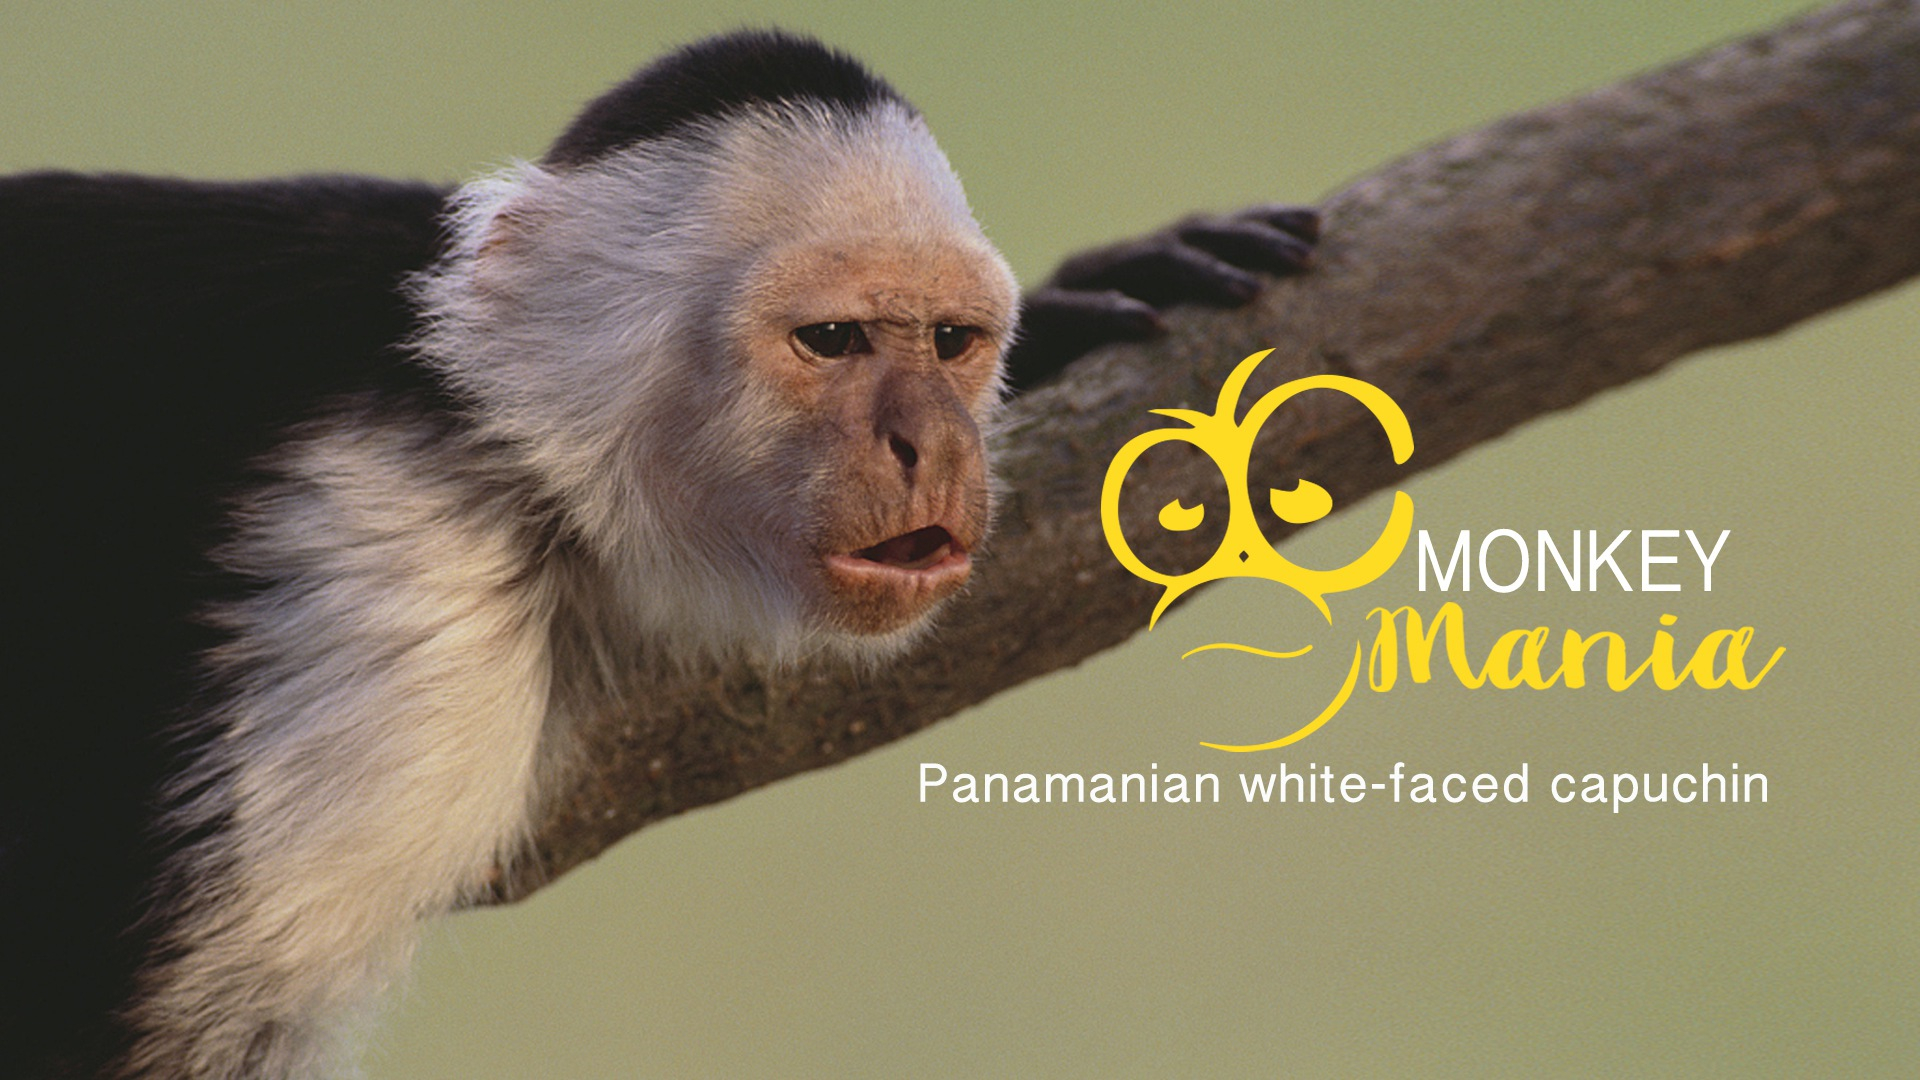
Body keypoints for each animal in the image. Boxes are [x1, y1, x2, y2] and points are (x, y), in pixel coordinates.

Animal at [0, 30, 1316, 1078]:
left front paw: (1088, 299)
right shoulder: (400, 608)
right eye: (831, 340)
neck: (491, 431)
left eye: (953, 343)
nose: (934, 443)